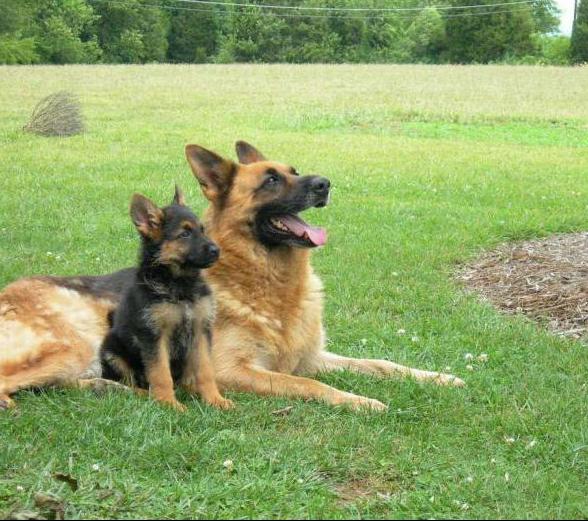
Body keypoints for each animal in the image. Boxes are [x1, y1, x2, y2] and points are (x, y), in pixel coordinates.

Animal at [100, 187, 231, 410]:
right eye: (185, 234)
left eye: (202, 230)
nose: (217, 251)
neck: (179, 284)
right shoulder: (153, 336)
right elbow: (160, 373)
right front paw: (168, 404)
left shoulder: (200, 330)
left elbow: (206, 370)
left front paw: (214, 399)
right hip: (111, 350)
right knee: (127, 383)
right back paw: (146, 395)